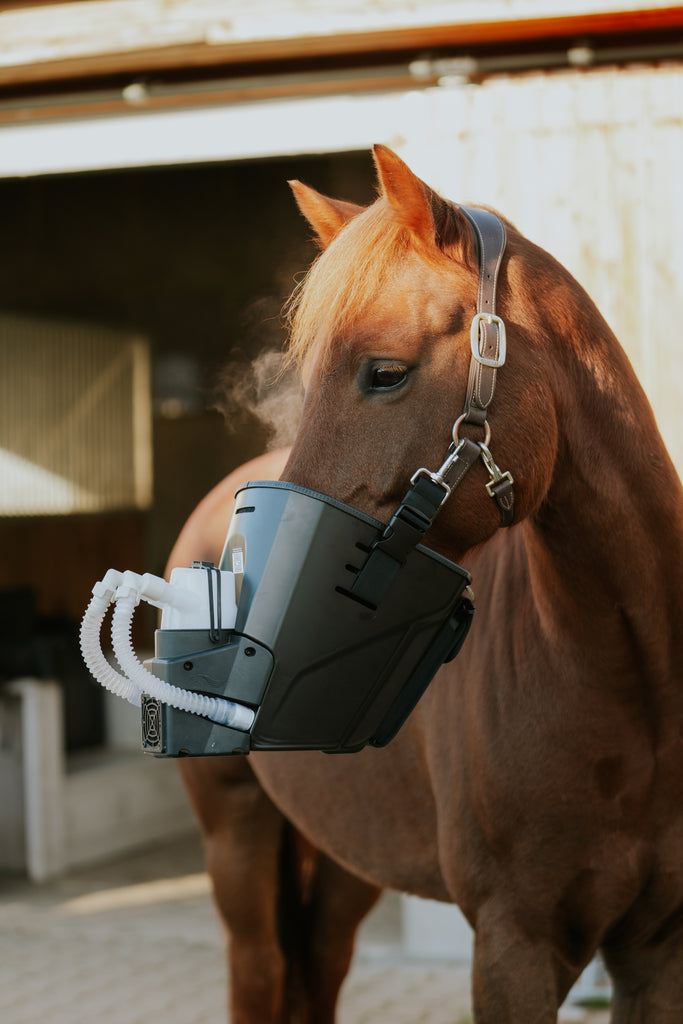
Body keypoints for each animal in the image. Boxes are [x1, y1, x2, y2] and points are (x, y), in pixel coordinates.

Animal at [167, 145, 683, 1023]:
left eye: (383, 372)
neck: (634, 693)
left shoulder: (657, 950)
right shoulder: (514, 944)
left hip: (347, 854)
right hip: (237, 838)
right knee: (261, 969)